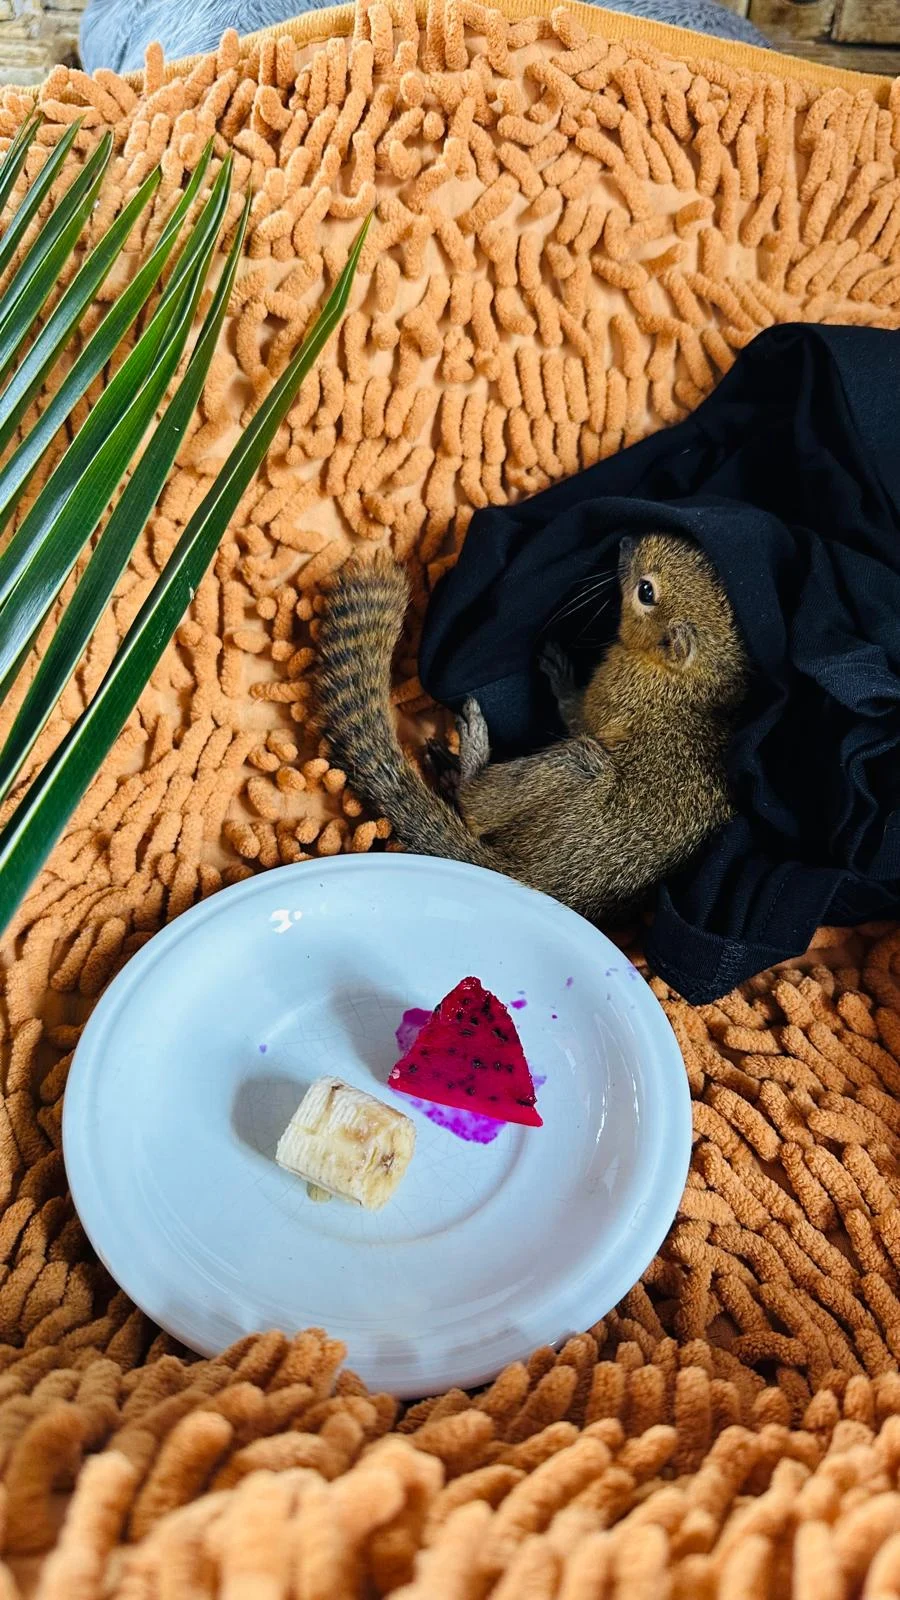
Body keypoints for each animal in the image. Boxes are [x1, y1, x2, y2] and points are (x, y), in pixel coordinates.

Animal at [315, 534, 749, 923]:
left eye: (646, 591)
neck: (694, 675)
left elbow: (577, 717)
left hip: (577, 767)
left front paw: (560, 676)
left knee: (474, 805)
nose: (627, 541)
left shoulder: (617, 689)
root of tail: (539, 881)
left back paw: (470, 757)